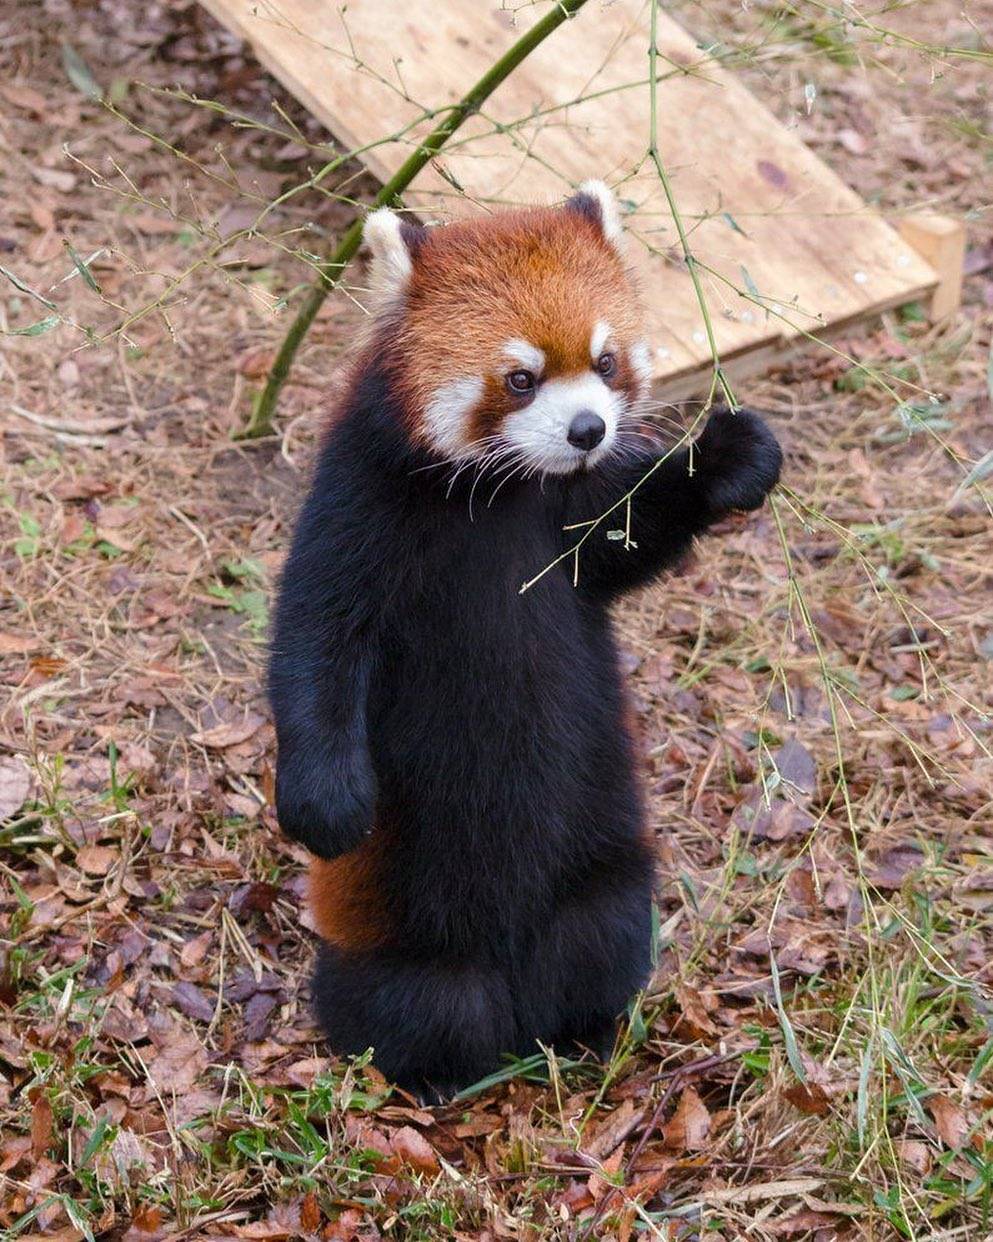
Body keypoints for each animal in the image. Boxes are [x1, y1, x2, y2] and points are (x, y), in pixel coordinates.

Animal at [269, 180, 782, 1099]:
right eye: (519, 378)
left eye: (605, 363)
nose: (586, 430)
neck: (503, 493)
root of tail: (510, 979)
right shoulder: (359, 500)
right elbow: (315, 637)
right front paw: (324, 801)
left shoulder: (575, 522)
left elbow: (630, 536)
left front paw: (725, 457)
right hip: (401, 936)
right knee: (416, 1004)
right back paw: (433, 1075)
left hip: (604, 877)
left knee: (600, 938)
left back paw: (586, 1029)